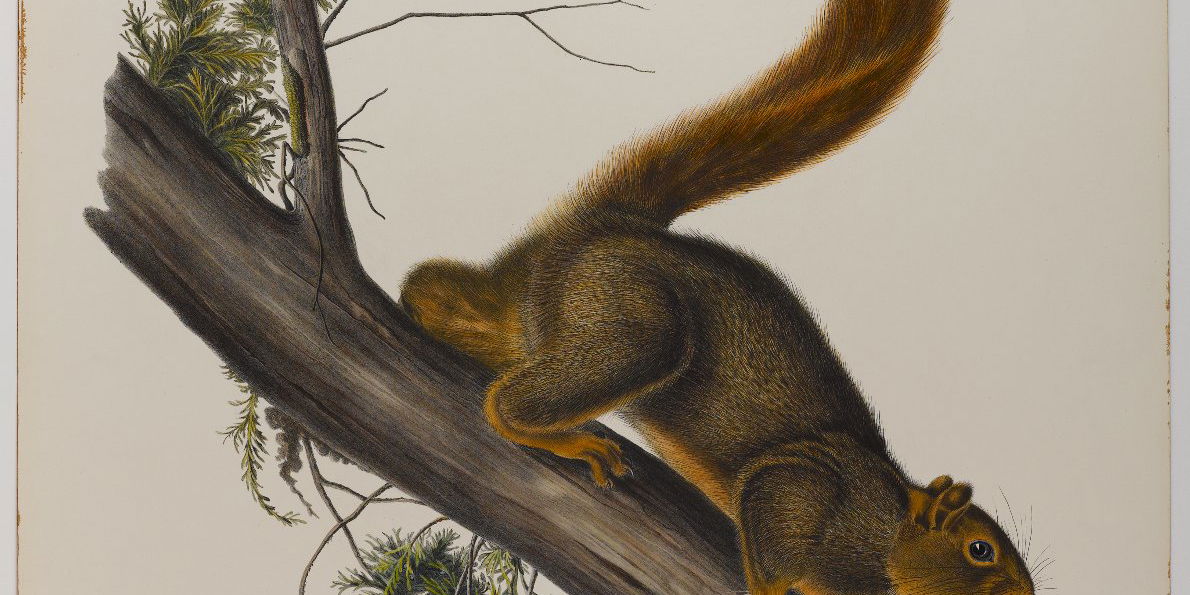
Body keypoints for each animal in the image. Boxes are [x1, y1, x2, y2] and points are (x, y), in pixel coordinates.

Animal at [399, 0, 1036, 594]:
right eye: (981, 550)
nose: (1029, 590)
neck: (889, 526)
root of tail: (612, 227)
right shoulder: (803, 489)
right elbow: (772, 510)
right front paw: (774, 588)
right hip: (634, 321)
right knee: (505, 400)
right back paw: (563, 436)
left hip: (549, 316)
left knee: (447, 297)